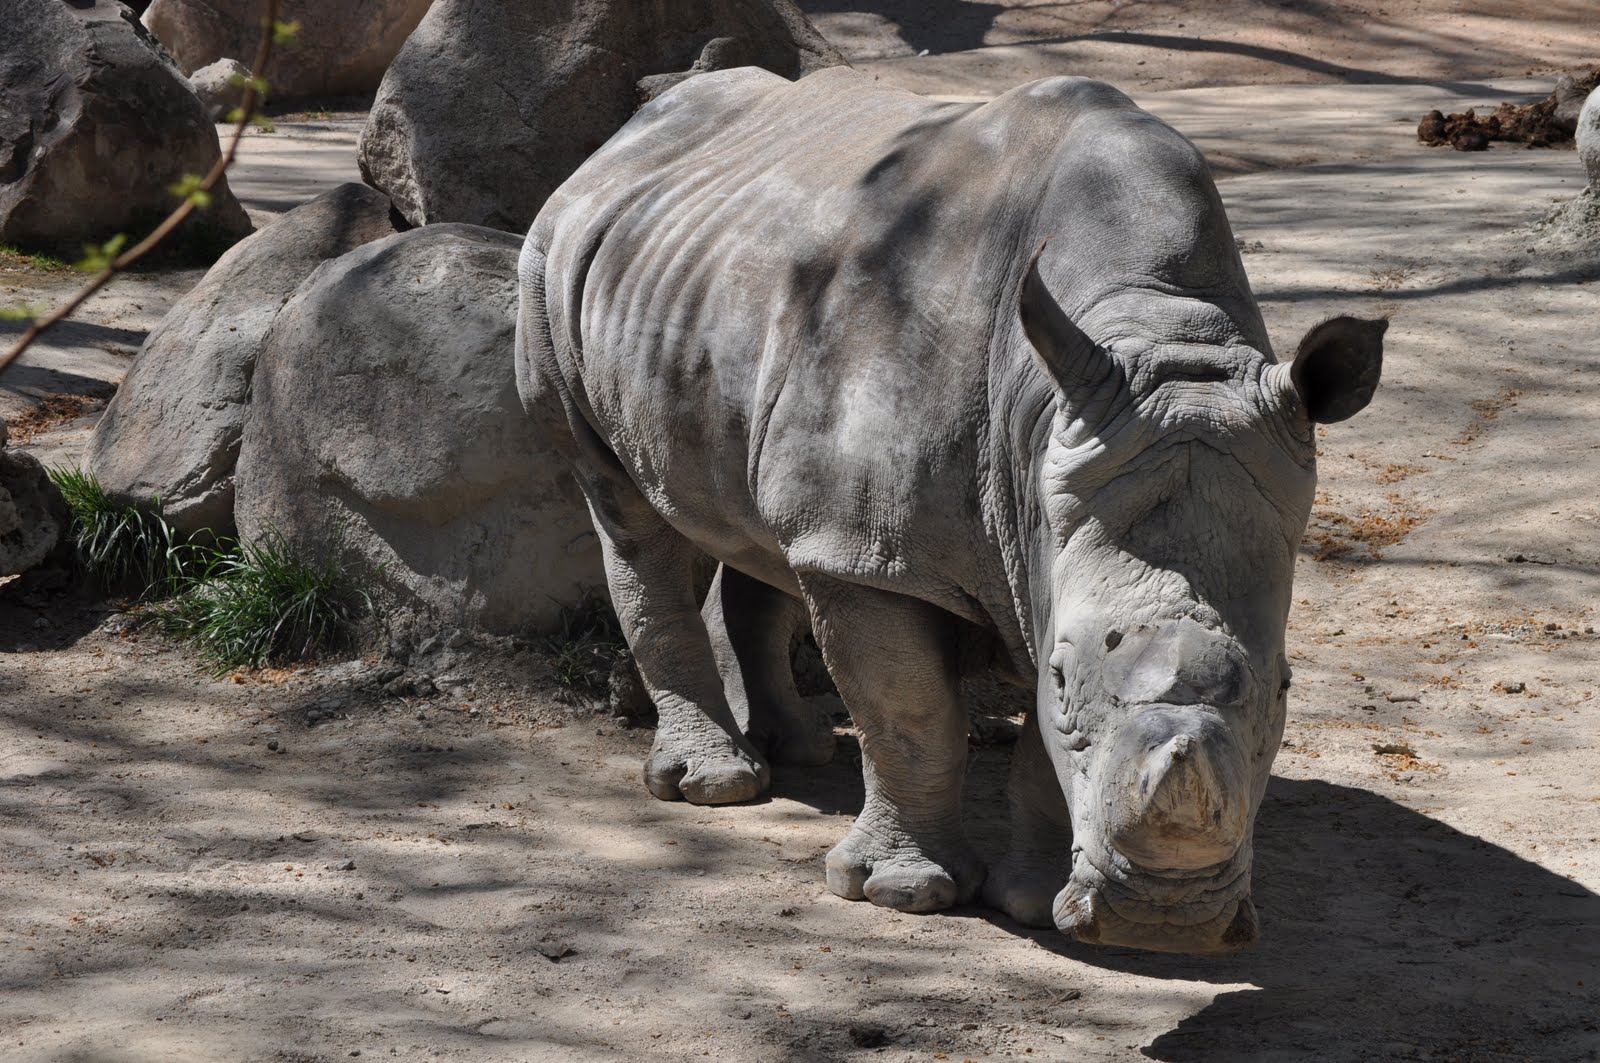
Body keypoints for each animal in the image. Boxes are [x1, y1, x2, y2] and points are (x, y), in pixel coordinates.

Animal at [515, 66, 1385, 954]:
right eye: (1066, 675)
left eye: (1285, 688)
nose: (1167, 922)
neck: (1159, 331)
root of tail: (624, 136)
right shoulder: (874, 552)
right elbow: (911, 710)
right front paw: (903, 893)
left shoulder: (1033, 529)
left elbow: (1037, 749)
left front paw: (1029, 902)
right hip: (548, 265)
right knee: (625, 509)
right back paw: (717, 786)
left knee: (768, 534)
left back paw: (798, 752)